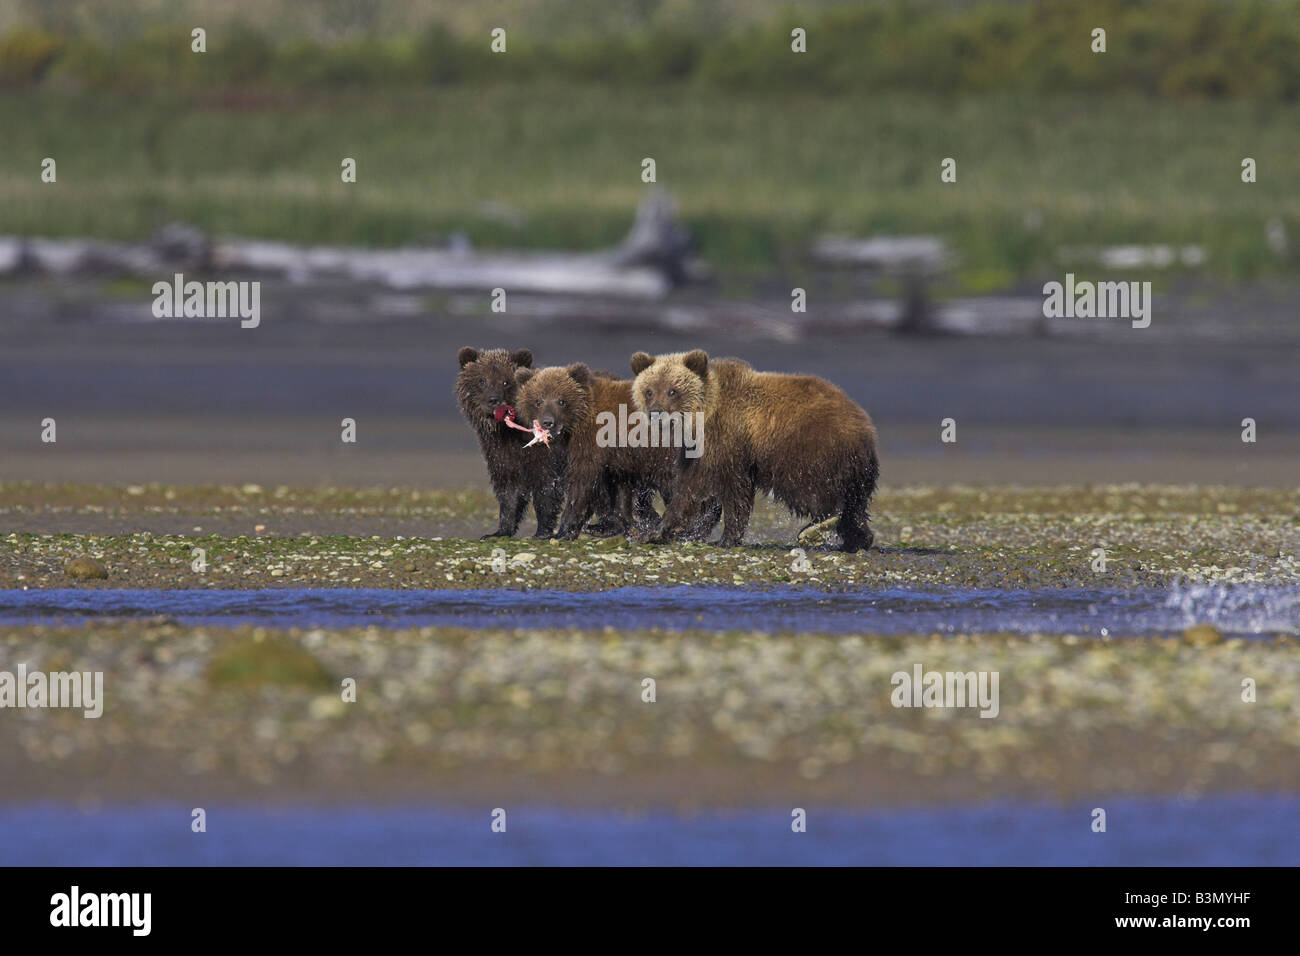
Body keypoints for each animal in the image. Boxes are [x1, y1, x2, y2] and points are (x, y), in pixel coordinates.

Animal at [455, 346, 564, 538]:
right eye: (482, 380)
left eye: (505, 381)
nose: (493, 400)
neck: (509, 431)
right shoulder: (500, 450)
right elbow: (510, 487)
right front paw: (499, 531)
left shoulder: (545, 452)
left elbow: (546, 485)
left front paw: (542, 532)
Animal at [514, 363, 720, 541]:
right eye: (538, 400)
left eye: (561, 400)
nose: (548, 422)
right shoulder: (617, 459)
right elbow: (616, 490)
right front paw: (612, 524)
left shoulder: (592, 443)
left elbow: (582, 482)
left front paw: (565, 530)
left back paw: (691, 530)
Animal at [629, 349, 879, 552]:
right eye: (649, 391)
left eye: (672, 390)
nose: (656, 412)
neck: (702, 416)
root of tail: (866, 429)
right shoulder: (697, 450)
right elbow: (695, 491)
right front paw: (670, 531)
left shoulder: (726, 443)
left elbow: (726, 492)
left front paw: (723, 538)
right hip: (856, 470)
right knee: (855, 506)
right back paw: (856, 540)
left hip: (808, 449)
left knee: (811, 490)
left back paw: (817, 527)